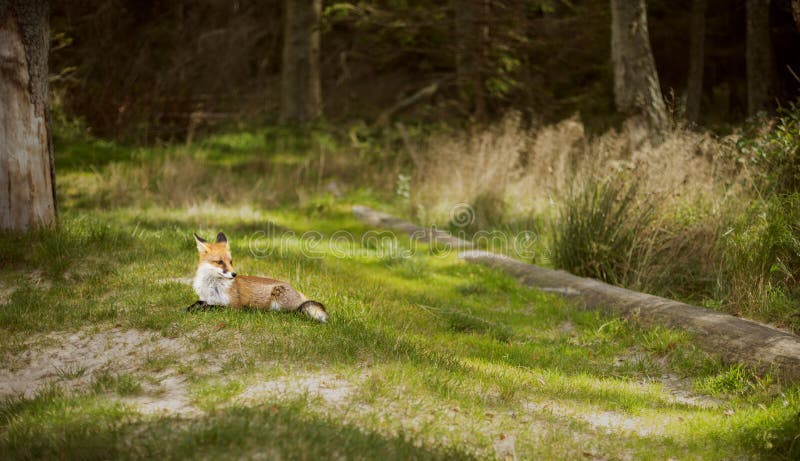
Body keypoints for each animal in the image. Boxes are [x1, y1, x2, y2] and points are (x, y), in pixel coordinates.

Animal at [187, 232, 329, 323]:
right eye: (220, 262)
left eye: (231, 262)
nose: (234, 274)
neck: (212, 287)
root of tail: (300, 294)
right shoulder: (205, 298)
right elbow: (198, 303)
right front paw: (188, 309)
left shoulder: (234, 307)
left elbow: (213, 307)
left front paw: (198, 310)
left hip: (279, 296)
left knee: (292, 312)